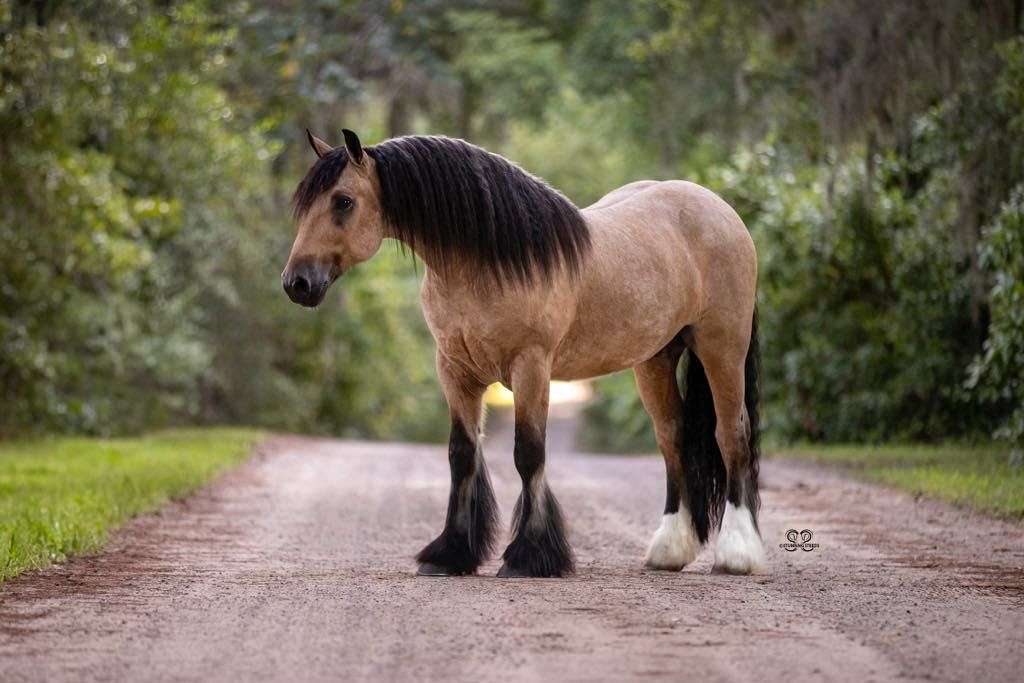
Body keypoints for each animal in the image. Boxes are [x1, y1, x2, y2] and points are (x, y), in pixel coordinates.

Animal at [282, 129, 764, 578]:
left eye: (343, 201)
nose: (297, 284)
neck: (487, 263)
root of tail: (721, 210)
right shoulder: (454, 370)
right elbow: (461, 454)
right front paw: (450, 553)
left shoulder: (530, 366)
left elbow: (528, 453)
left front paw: (530, 556)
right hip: (656, 359)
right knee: (673, 436)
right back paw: (670, 549)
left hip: (722, 347)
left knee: (731, 434)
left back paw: (738, 553)